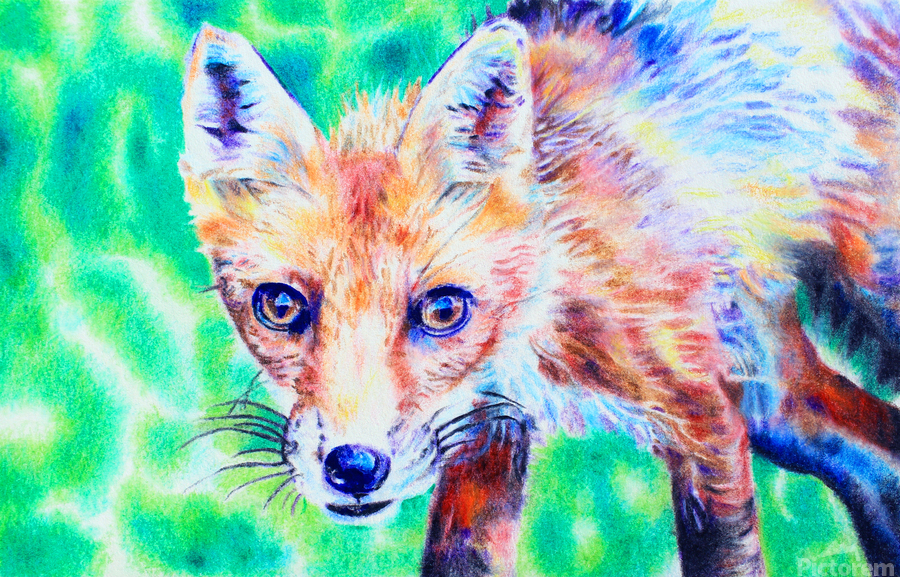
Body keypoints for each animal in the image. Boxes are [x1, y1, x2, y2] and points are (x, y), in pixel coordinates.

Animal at [179, 0, 900, 575]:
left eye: (443, 309)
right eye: (281, 306)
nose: (354, 467)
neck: (541, 310)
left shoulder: (701, 413)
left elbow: (726, 555)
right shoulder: (482, 437)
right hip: (775, 399)